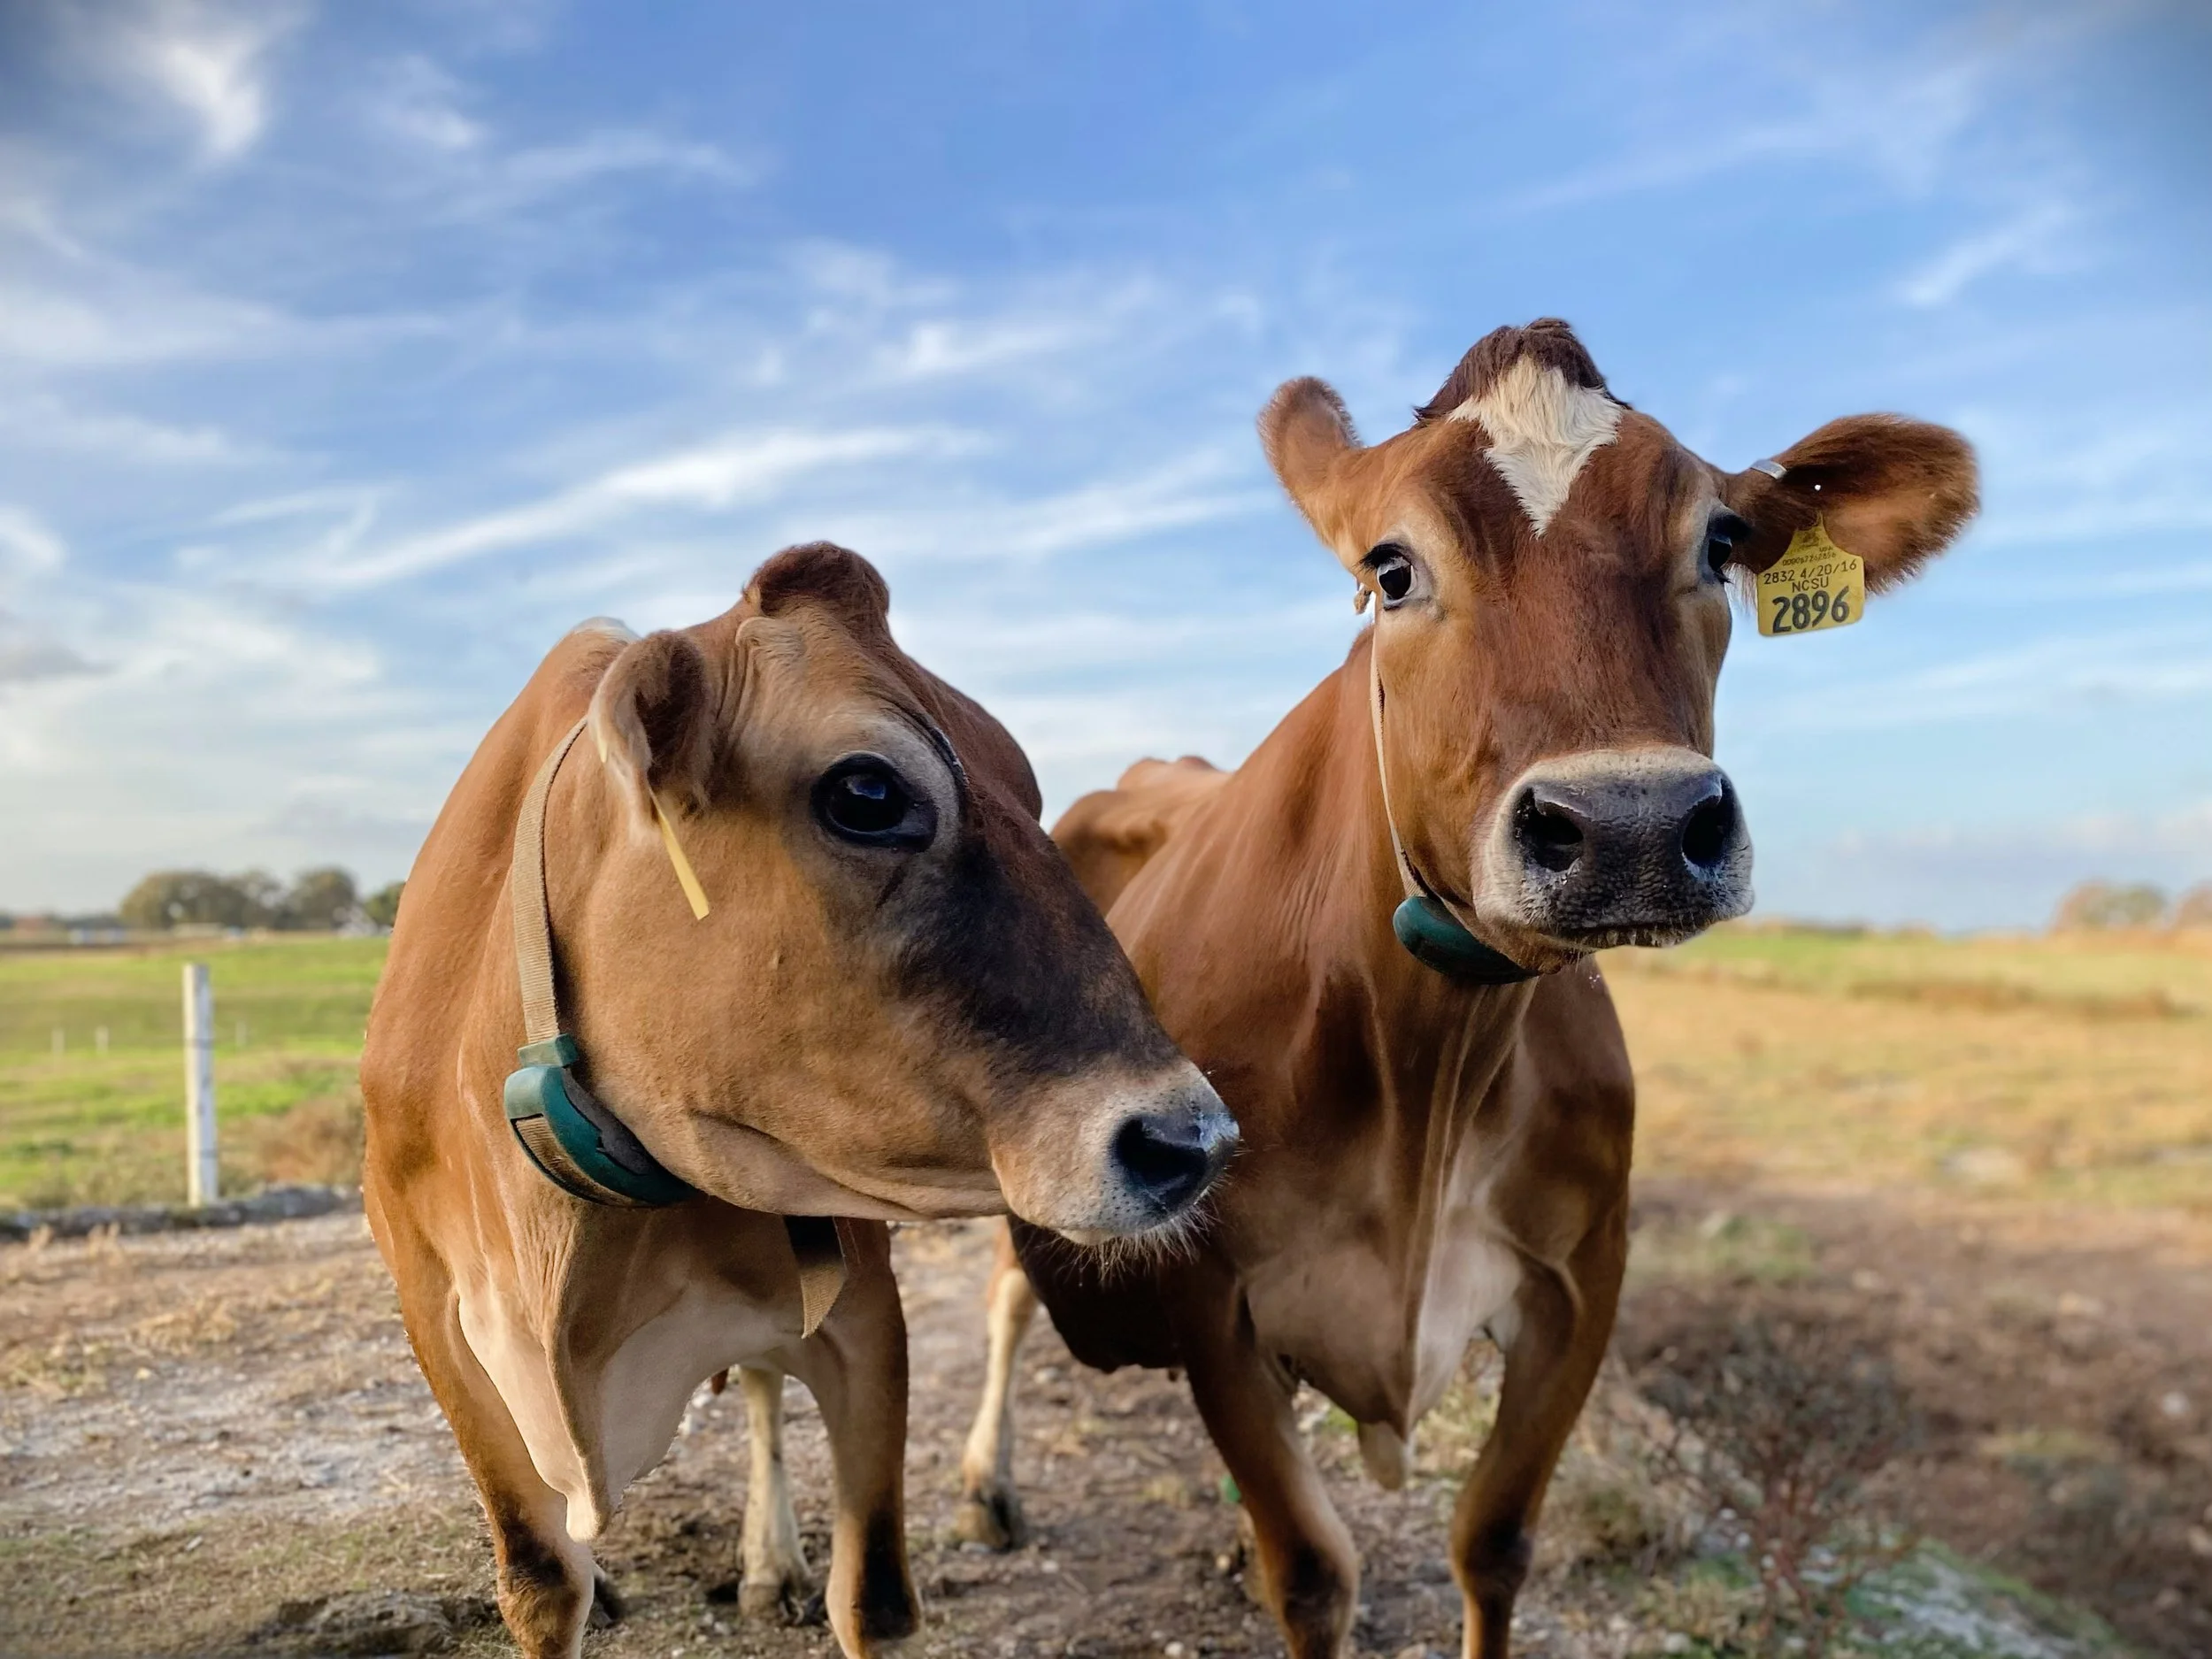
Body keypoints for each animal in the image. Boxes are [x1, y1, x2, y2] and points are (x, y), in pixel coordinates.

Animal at [361, 541, 1237, 1659]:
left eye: (1030, 789)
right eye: (866, 792)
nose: (1191, 1139)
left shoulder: (860, 1309)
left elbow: (873, 1595)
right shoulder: (440, 1324)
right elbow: (542, 1583)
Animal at [951, 321, 1978, 1658]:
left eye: (1718, 543)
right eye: (1392, 570)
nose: (1633, 827)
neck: (1425, 1065)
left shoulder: (1582, 1278)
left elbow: (1491, 1539)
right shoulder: (1214, 1298)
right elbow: (1312, 1569)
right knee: (1008, 1289)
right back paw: (985, 1485)